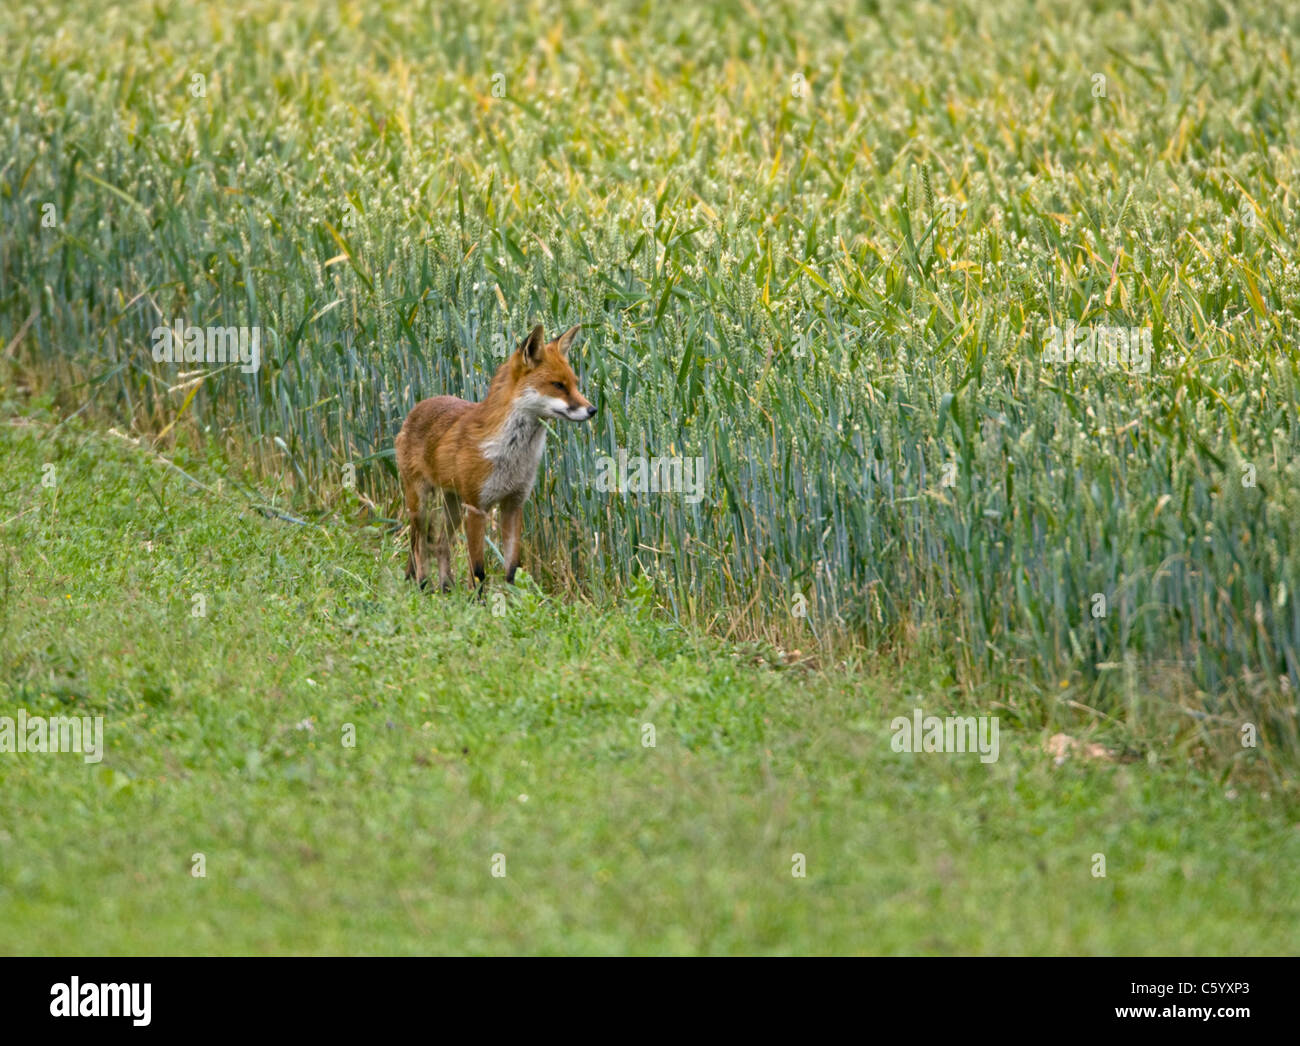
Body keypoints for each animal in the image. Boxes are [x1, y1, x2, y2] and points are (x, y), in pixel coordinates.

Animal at [395, 322, 596, 591]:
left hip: (453, 506)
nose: (593, 410)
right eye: (558, 385)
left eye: (574, 383)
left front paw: (512, 600)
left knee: (440, 543)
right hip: (421, 503)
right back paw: (424, 587)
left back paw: (446, 588)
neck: (512, 455)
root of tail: (416, 408)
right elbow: (479, 572)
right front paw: (479, 600)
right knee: (420, 546)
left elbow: (512, 568)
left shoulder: (514, 504)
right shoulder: (476, 508)